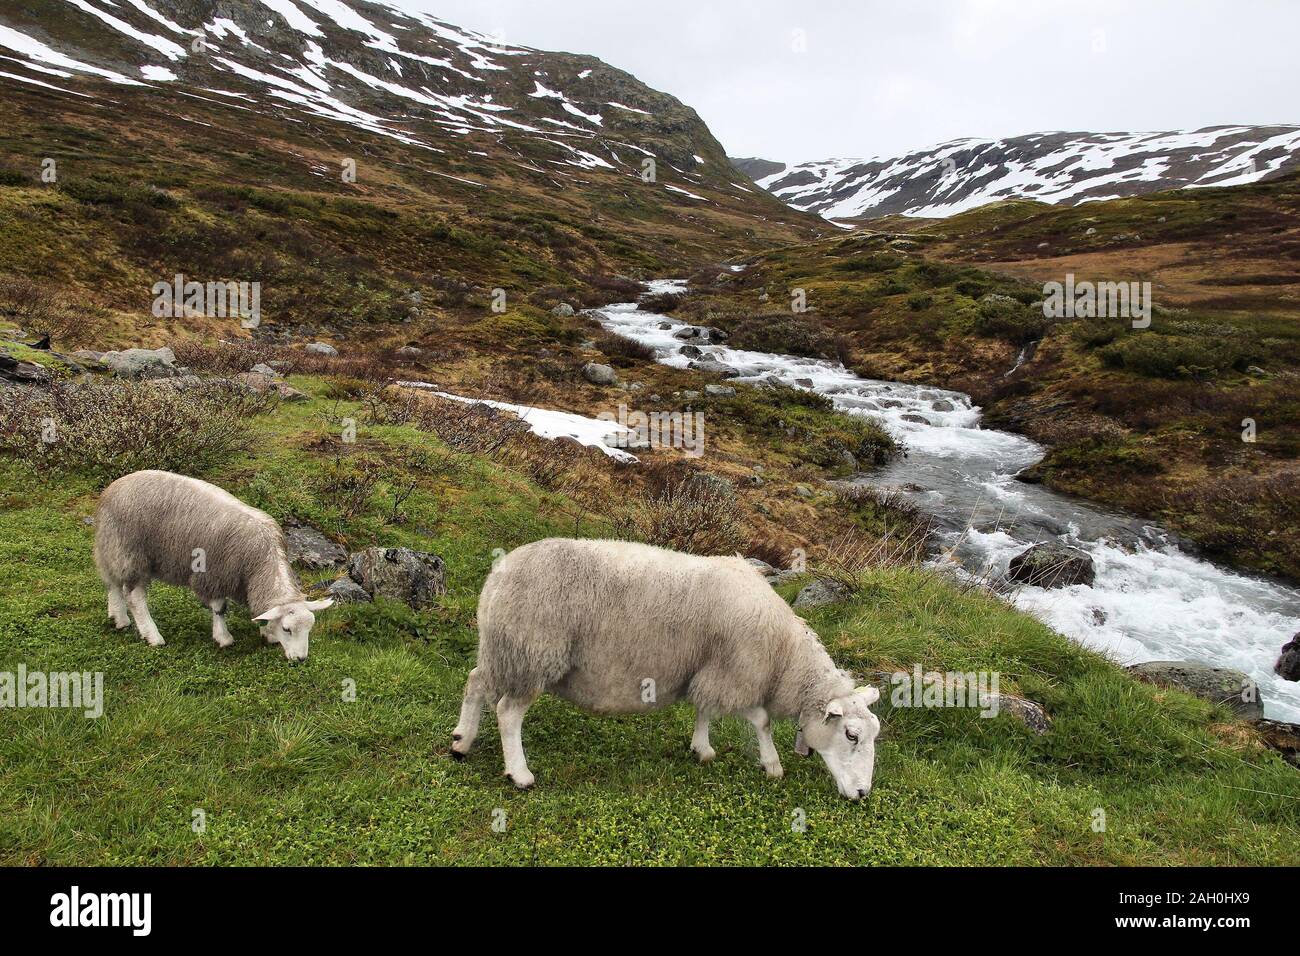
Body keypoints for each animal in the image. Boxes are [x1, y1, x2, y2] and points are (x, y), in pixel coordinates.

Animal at [94, 470, 332, 660]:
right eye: (287, 629)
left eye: (309, 627)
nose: (300, 659)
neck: (260, 562)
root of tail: (111, 490)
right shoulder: (214, 574)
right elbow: (219, 608)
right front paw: (223, 637)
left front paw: (267, 632)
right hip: (131, 553)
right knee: (134, 596)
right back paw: (152, 635)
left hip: (111, 549)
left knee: (112, 583)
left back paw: (119, 618)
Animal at [451, 538, 881, 799]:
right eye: (852, 735)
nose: (862, 794)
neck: (783, 655)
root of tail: (499, 574)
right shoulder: (736, 672)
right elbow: (761, 721)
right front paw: (772, 764)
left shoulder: (709, 670)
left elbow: (704, 708)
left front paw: (702, 749)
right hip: (533, 653)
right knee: (508, 712)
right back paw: (519, 773)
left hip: (501, 651)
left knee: (474, 683)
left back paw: (461, 741)